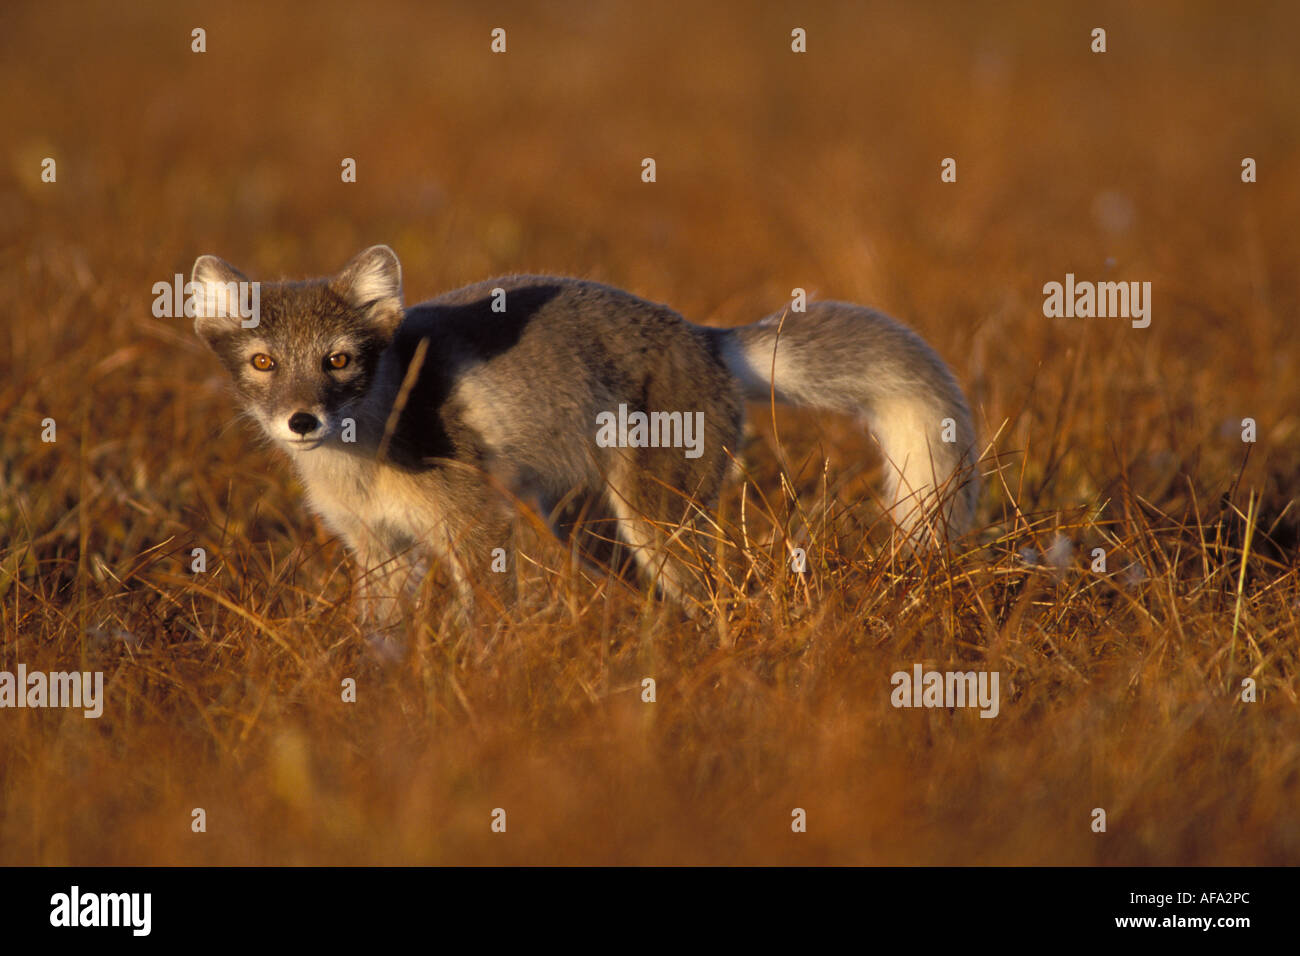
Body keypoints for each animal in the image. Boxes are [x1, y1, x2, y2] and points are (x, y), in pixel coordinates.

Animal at [190, 245, 978, 625]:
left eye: (338, 361)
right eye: (263, 363)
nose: (302, 421)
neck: (362, 461)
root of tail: (703, 336)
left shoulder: (477, 528)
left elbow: (490, 628)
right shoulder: (381, 553)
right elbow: (377, 647)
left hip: (657, 523)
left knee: (735, 595)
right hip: (592, 532)